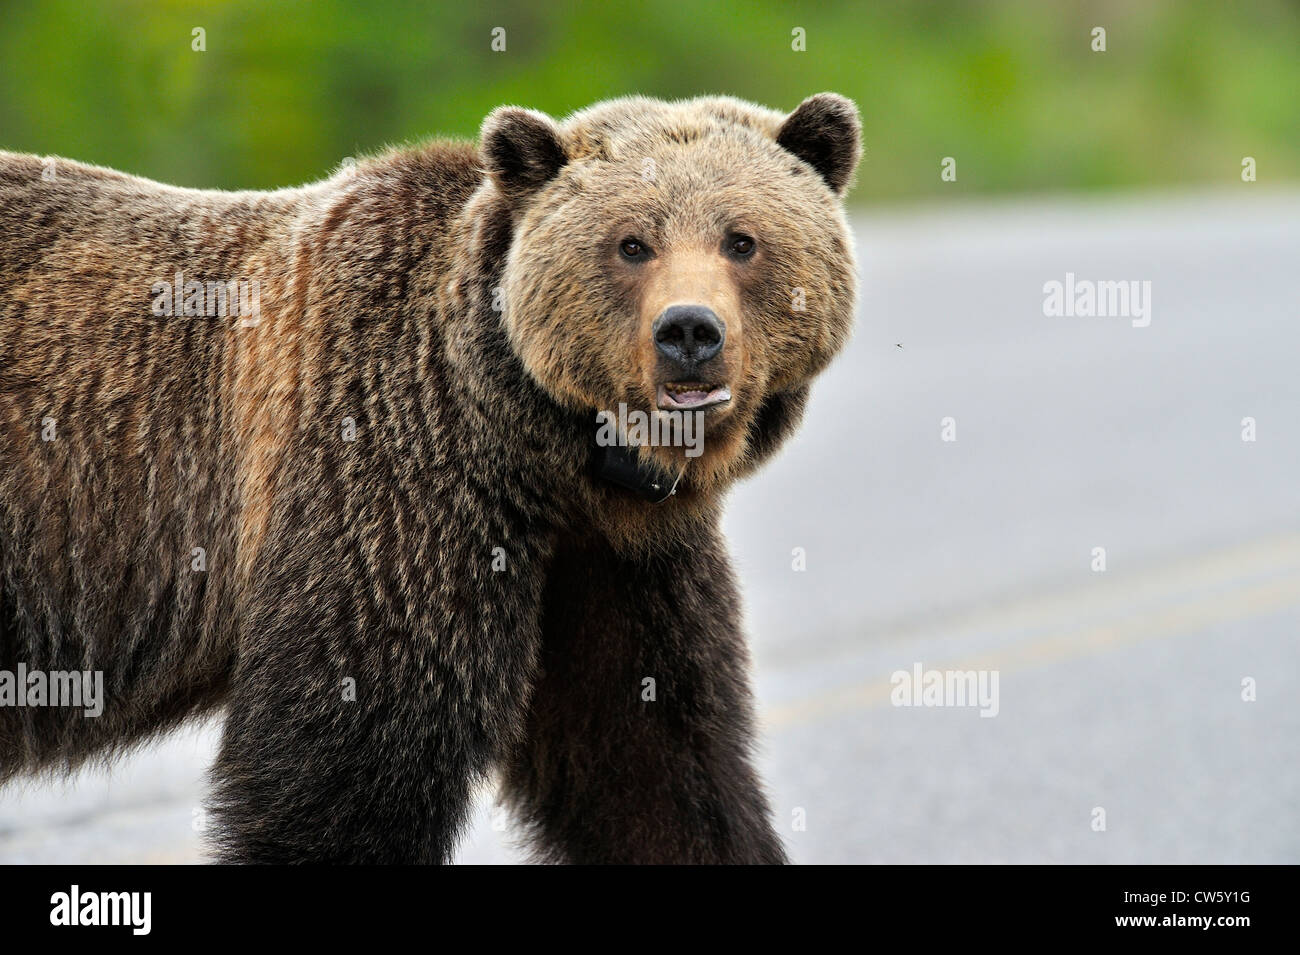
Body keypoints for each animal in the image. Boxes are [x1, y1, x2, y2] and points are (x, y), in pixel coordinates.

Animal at [0, 92, 860, 863]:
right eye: (631, 243)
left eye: (742, 239)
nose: (688, 332)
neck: (551, 455)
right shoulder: (396, 478)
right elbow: (356, 755)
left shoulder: (612, 560)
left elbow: (653, 758)